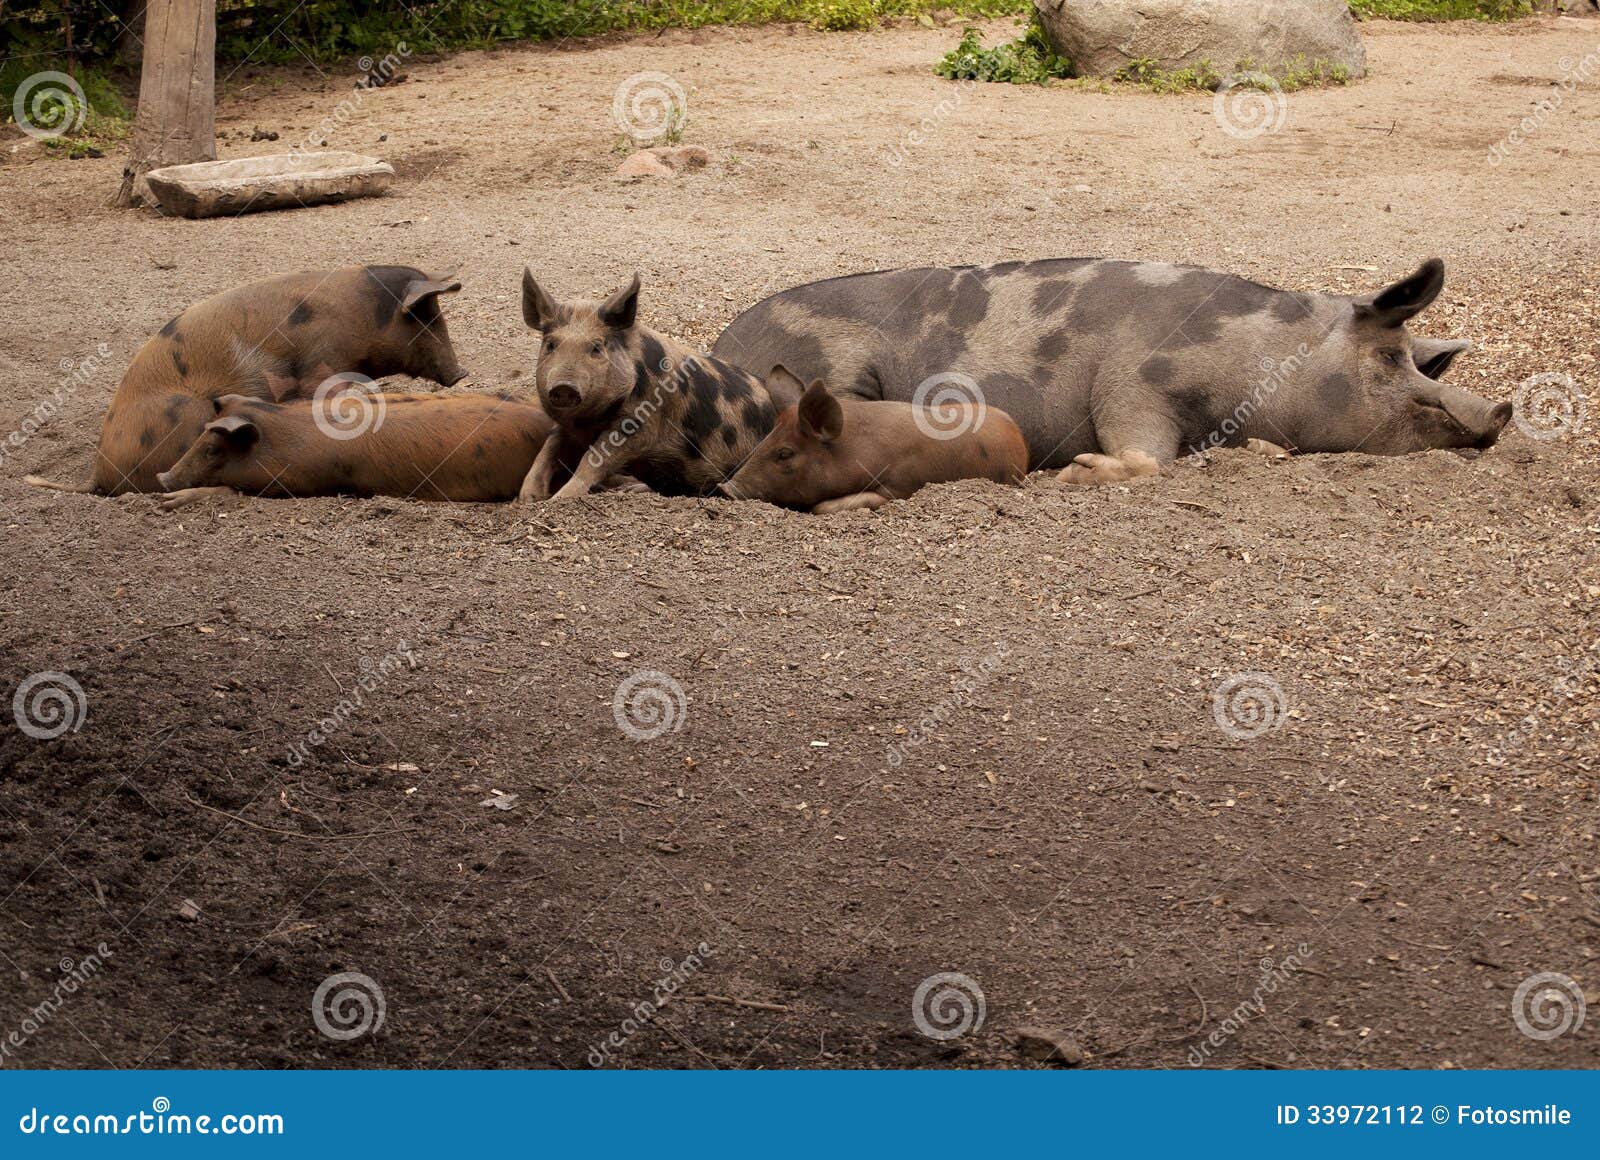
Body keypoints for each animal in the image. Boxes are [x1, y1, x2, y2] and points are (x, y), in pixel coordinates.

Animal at [26, 265, 466, 496]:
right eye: (428, 318)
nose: (461, 373)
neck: (365, 319)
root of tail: (97, 473)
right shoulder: (323, 365)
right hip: (189, 418)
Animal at [515, 270, 779, 501]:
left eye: (597, 347)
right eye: (550, 344)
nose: (564, 387)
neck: (587, 422)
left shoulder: (641, 424)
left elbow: (594, 458)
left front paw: (558, 499)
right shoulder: (568, 429)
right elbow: (548, 449)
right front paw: (527, 498)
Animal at [710, 258, 1513, 484]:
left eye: (1421, 362)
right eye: (1387, 357)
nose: (1500, 412)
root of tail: (724, 343)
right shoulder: (1134, 379)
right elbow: (1144, 453)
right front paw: (1075, 473)